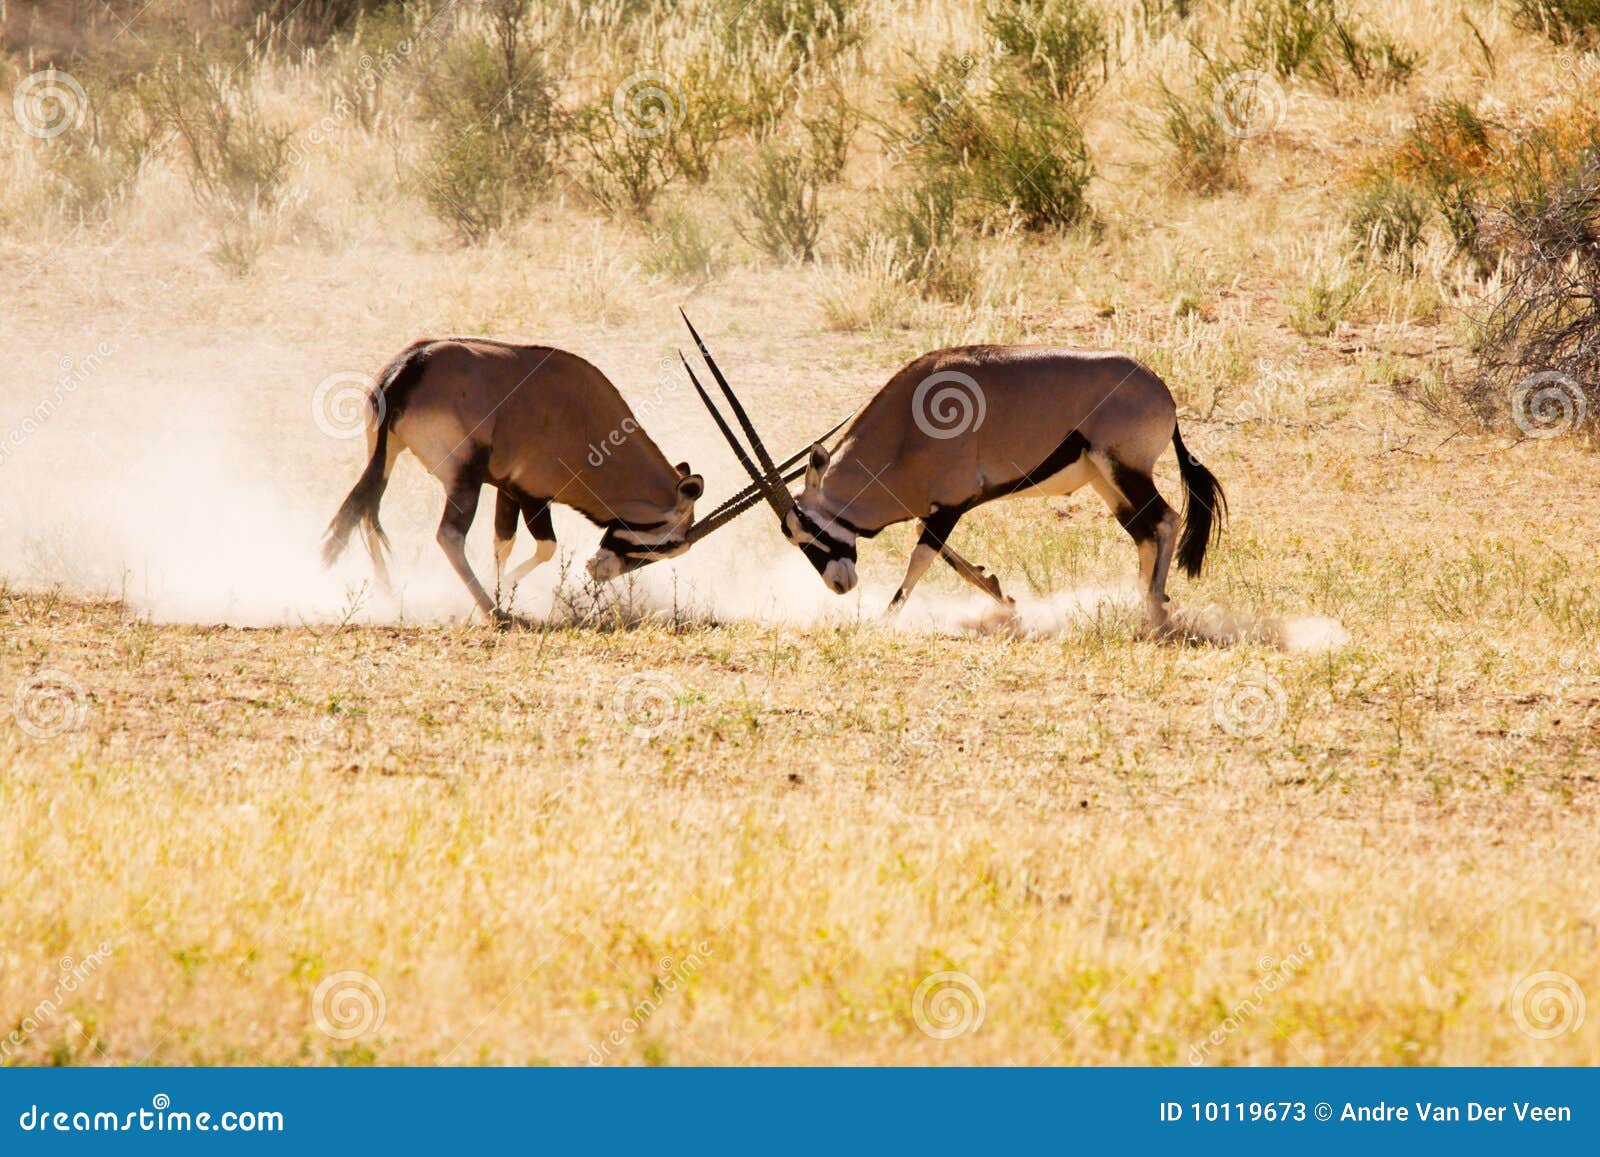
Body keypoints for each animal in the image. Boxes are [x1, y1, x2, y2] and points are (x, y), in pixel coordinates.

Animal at [321, 337, 812, 620]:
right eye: (667, 543)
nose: (600, 570)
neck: (589, 422)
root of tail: (411, 365)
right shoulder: (531, 493)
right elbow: (544, 547)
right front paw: (509, 596)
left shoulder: (506, 488)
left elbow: (502, 544)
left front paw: (505, 586)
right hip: (464, 477)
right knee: (448, 535)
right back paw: (497, 615)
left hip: (386, 455)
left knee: (367, 514)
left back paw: (389, 595)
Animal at [679, 313, 1226, 631]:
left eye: (810, 529)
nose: (839, 585)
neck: (902, 432)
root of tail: (1159, 389)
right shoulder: (938, 509)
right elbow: (946, 556)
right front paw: (1003, 597)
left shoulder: (952, 503)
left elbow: (921, 557)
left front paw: (884, 619)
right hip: (1104, 481)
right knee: (1143, 531)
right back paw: (1142, 602)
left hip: (1123, 469)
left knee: (1165, 520)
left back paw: (1154, 609)